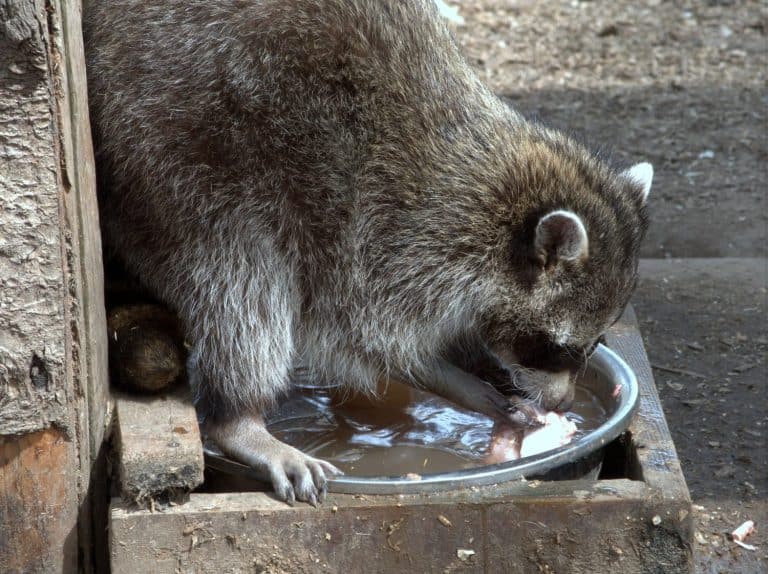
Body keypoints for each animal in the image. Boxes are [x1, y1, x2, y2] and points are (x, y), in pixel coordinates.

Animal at [84, 0, 652, 504]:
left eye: (593, 347)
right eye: (559, 350)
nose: (566, 403)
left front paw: (480, 363)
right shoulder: (391, 226)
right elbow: (364, 334)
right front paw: (457, 379)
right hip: (175, 151)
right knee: (240, 276)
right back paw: (238, 417)